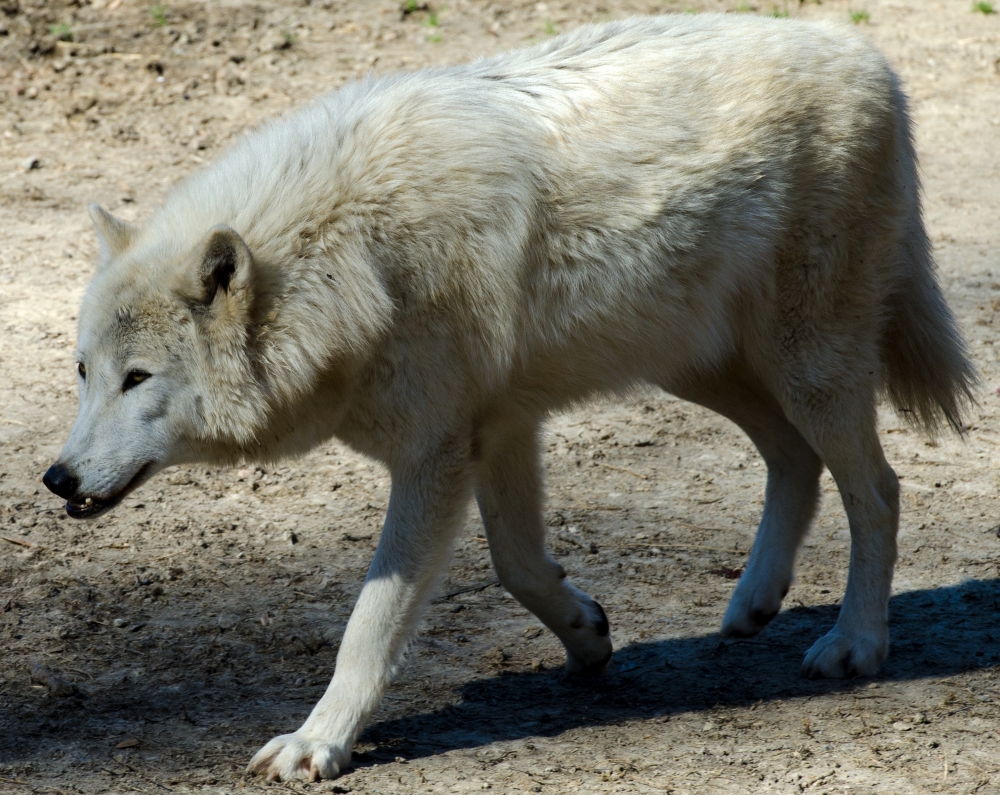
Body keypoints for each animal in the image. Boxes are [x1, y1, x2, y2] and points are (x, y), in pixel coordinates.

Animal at [42, 13, 974, 782]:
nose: (57, 479)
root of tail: (869, 58)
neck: (346, 261)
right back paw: (753, 601)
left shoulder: (436, 457)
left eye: (137, 378)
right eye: (85, 373)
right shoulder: (499, 430)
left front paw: (320, 741)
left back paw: (855, 643)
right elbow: (519, 566)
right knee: (794, 458)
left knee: (877, 488)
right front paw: (588, 634)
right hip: (693, 365)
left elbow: (371, 622)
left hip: (805, 365)